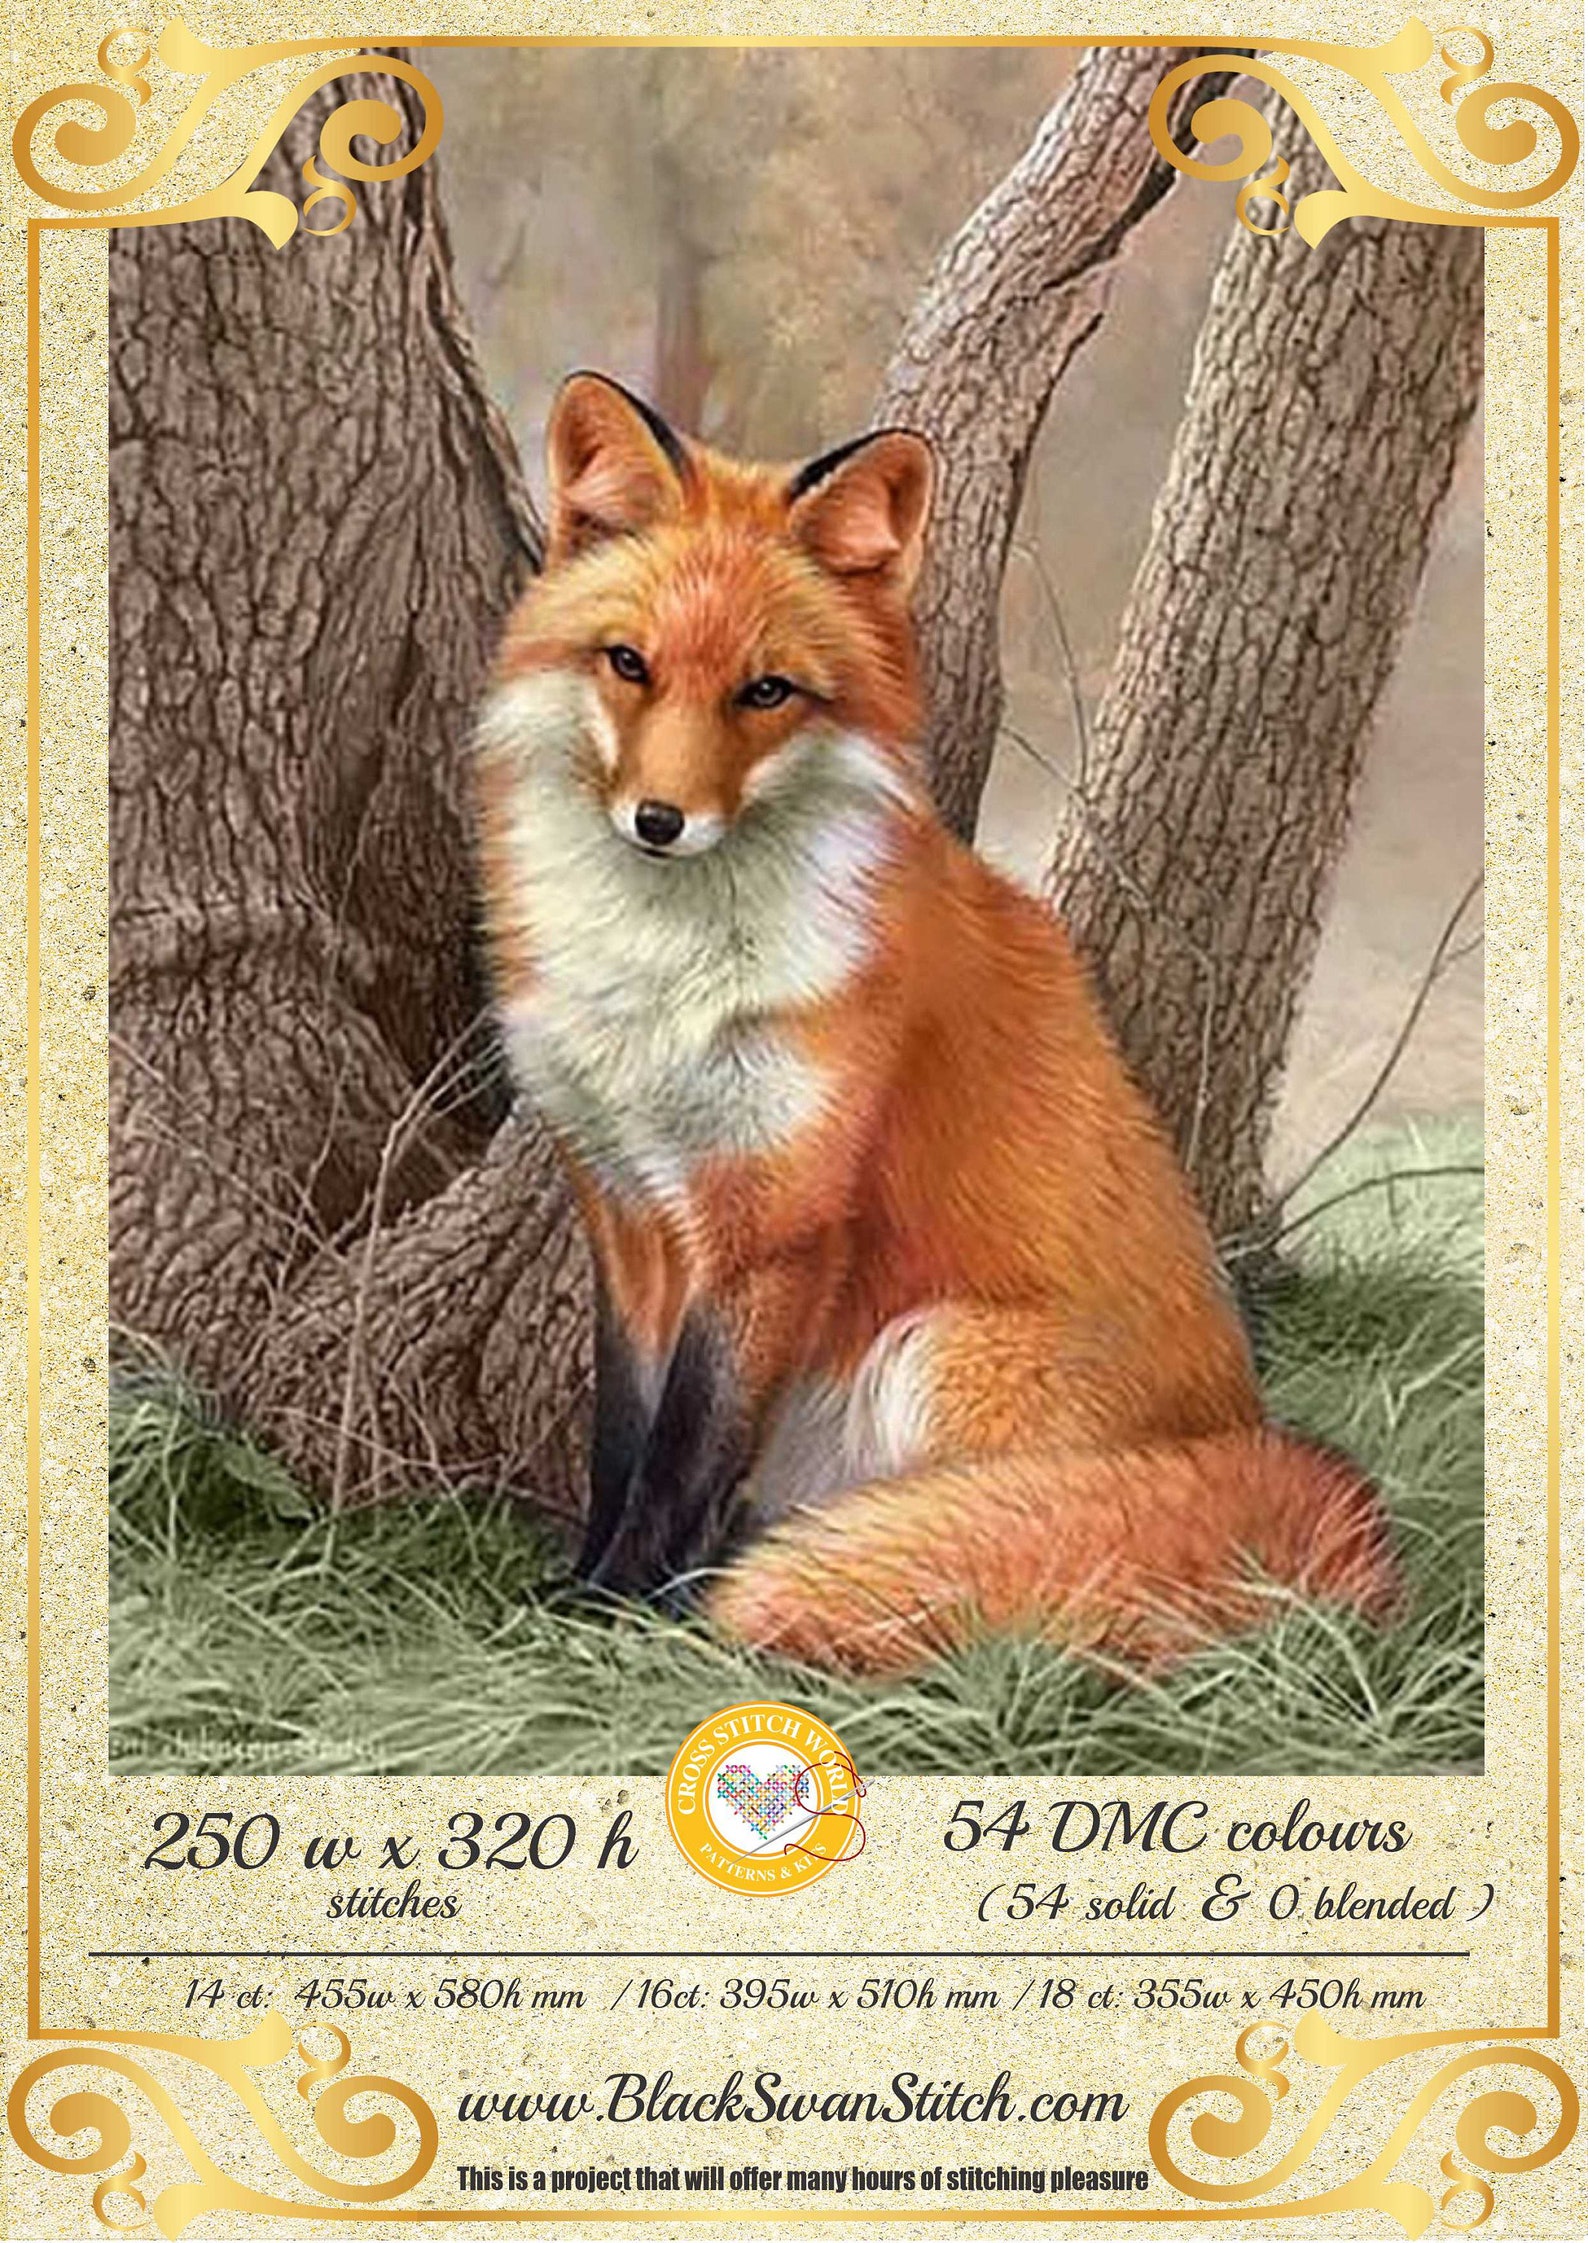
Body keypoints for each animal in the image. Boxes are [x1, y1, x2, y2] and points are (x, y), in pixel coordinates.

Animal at [473, 370, 1401, 1676]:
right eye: (628, 664)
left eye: (766, 691)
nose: (658, 819)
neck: (663, 985)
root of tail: (1255, 1443)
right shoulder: (625, 1208)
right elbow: (624, 1438)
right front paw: (582, 1583)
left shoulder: (772, 1224)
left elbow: (687, 1452)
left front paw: (622, 1612)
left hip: (933, 1354)